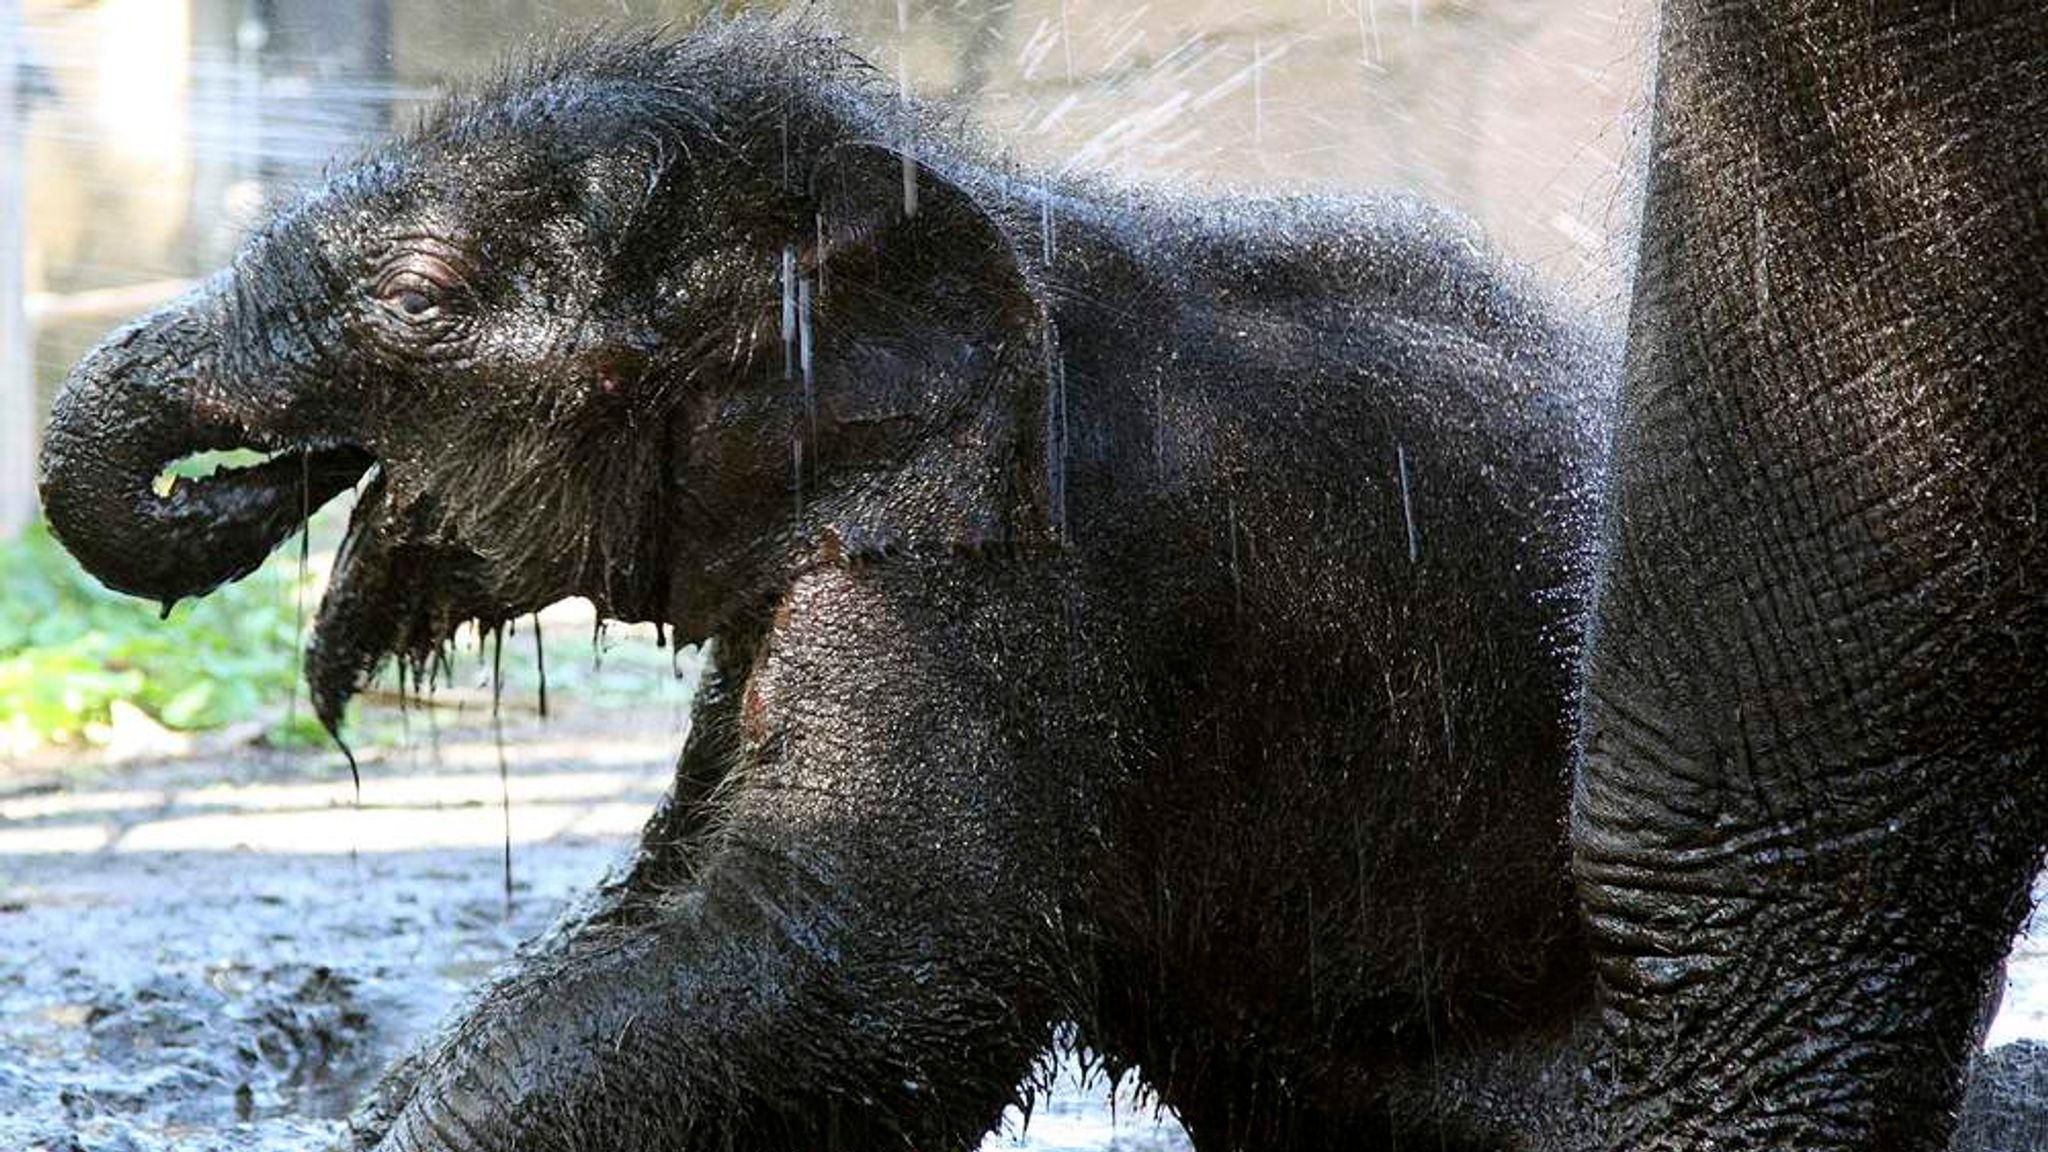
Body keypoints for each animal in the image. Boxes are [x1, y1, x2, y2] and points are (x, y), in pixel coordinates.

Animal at [30, 6, 2042, 1152]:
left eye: (429, 303)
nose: (254, 477)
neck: (951, 192)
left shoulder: (1028, 567)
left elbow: (859, 955)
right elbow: (702, 903)